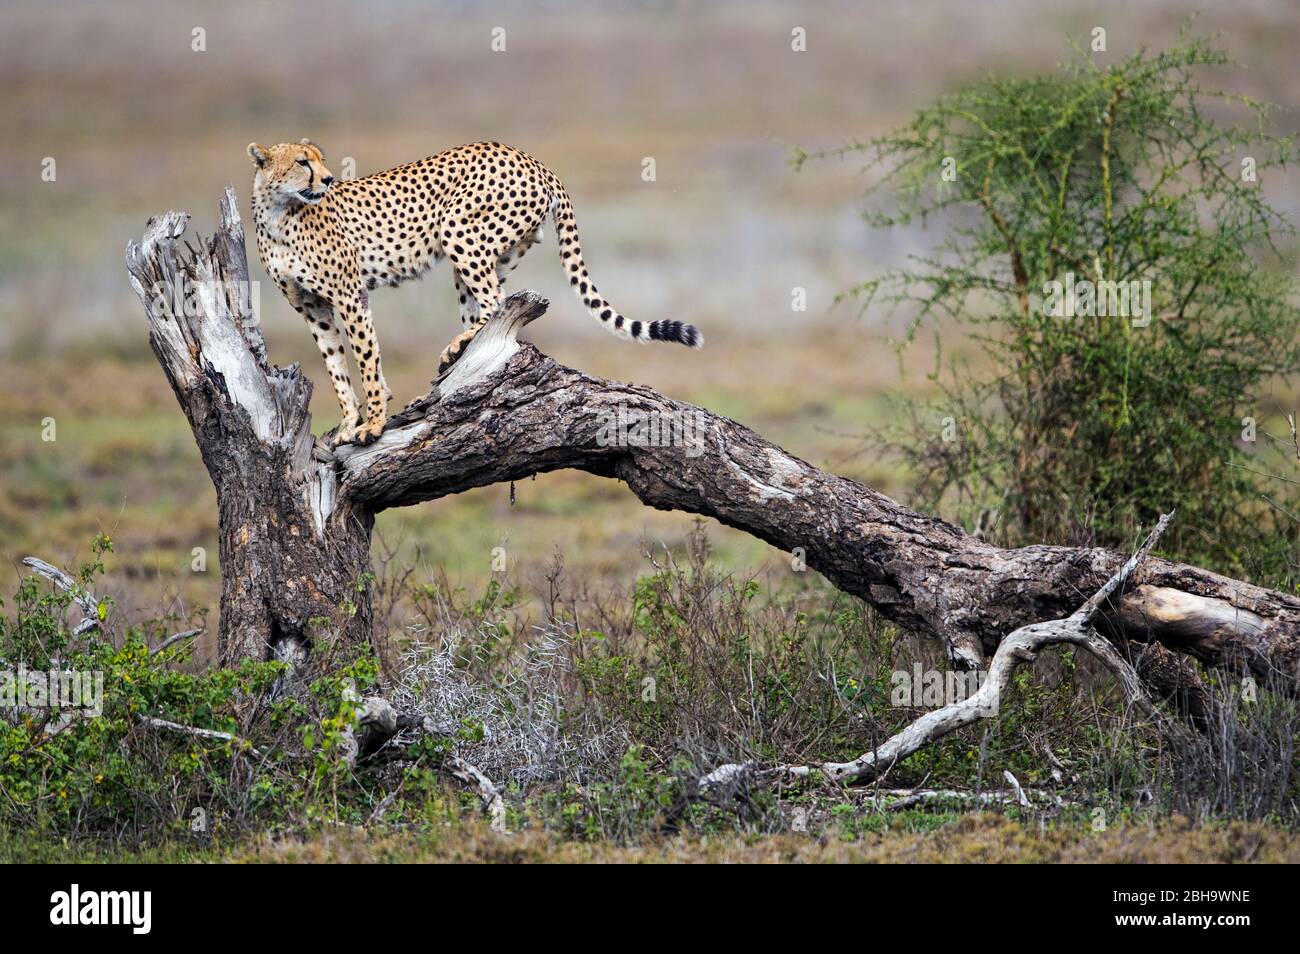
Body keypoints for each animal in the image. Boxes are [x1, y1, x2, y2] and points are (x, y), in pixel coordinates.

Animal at [246, 138, 703, 445]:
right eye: (302, 161)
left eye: (320, 160)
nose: (327, 179)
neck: (280, 213)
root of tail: (528, 157)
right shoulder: (313, 308)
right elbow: (337, 368)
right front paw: (348, 425)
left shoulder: (349, 295)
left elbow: (366, 361)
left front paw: (373, 423)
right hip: (498, 248)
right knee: (487, 306)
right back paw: (452, 362)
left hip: (459, 230)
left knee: (494, 303)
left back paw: (454, 352)